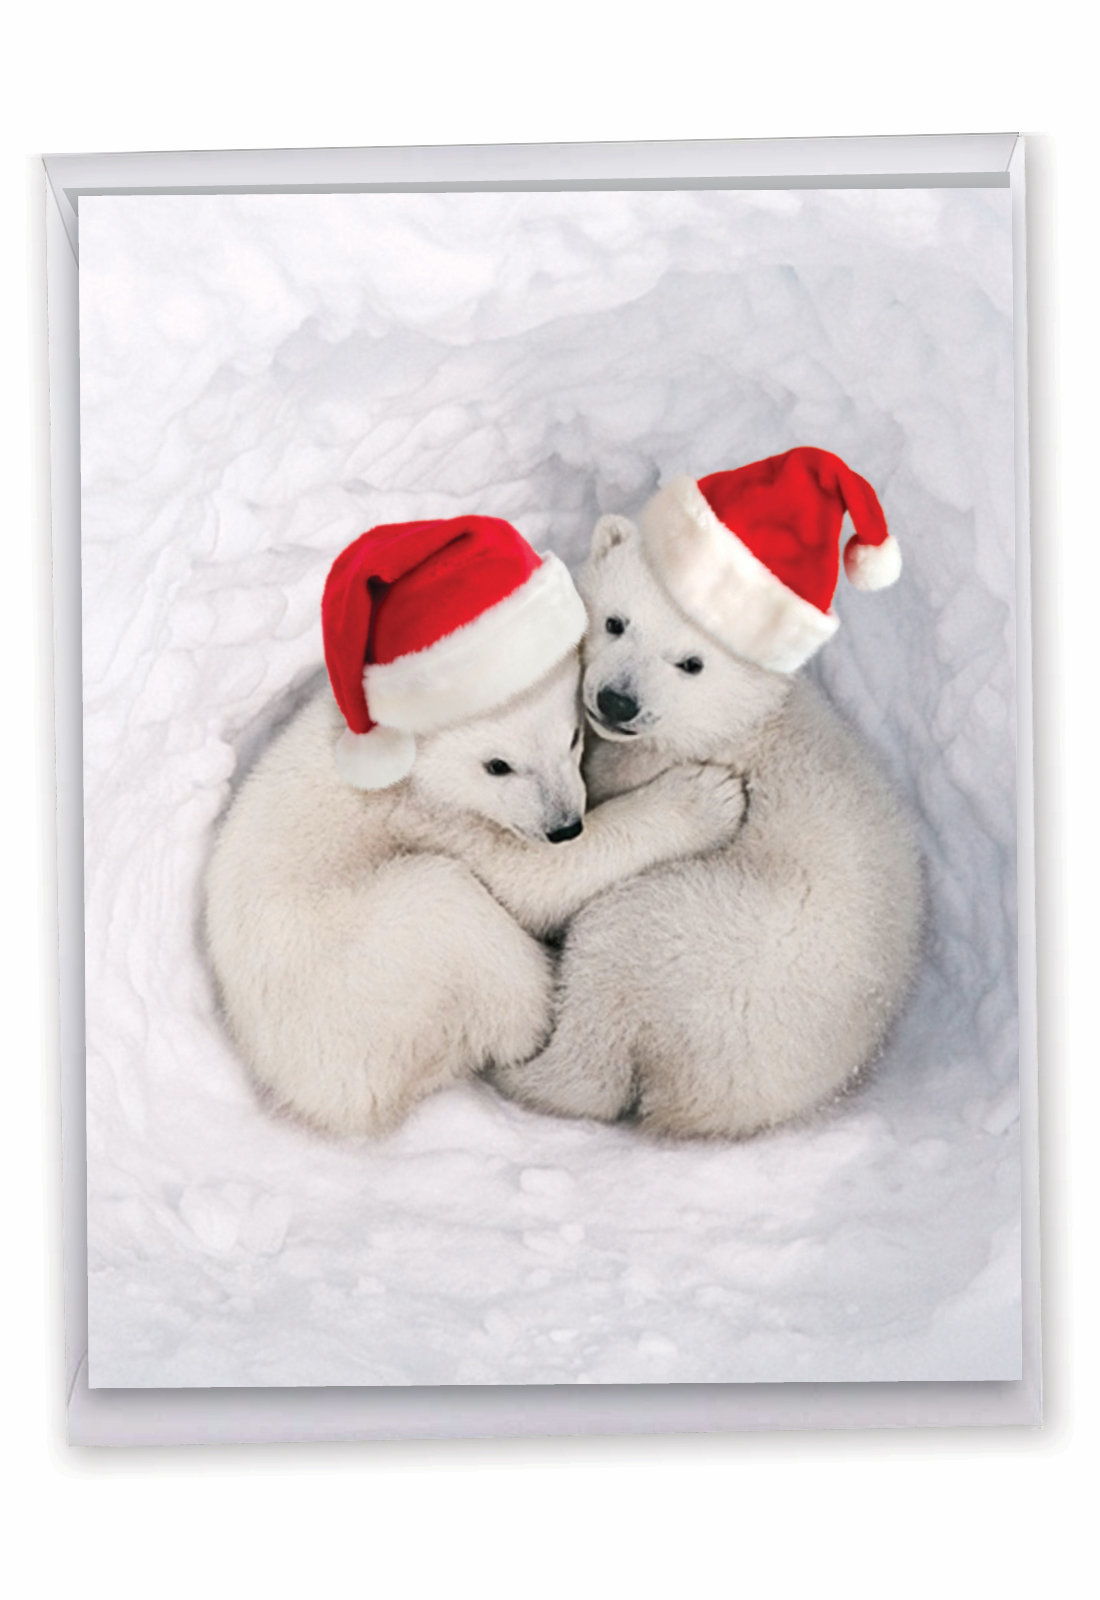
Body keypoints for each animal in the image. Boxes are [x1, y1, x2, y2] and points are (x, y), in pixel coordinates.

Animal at [203, 653, 746, 1138]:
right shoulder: (421, 812)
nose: (564, 826)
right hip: (369, 974)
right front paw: (708, 795)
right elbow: (533, 880)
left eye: (573, 737)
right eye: (497, 765)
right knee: (458, 919)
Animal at [490, 495, 924, 1140]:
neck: (731, 729)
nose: (617, 700)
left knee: (606, 977)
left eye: (690, 663)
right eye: (615, 622)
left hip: (693, 936)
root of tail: (697, 1087)